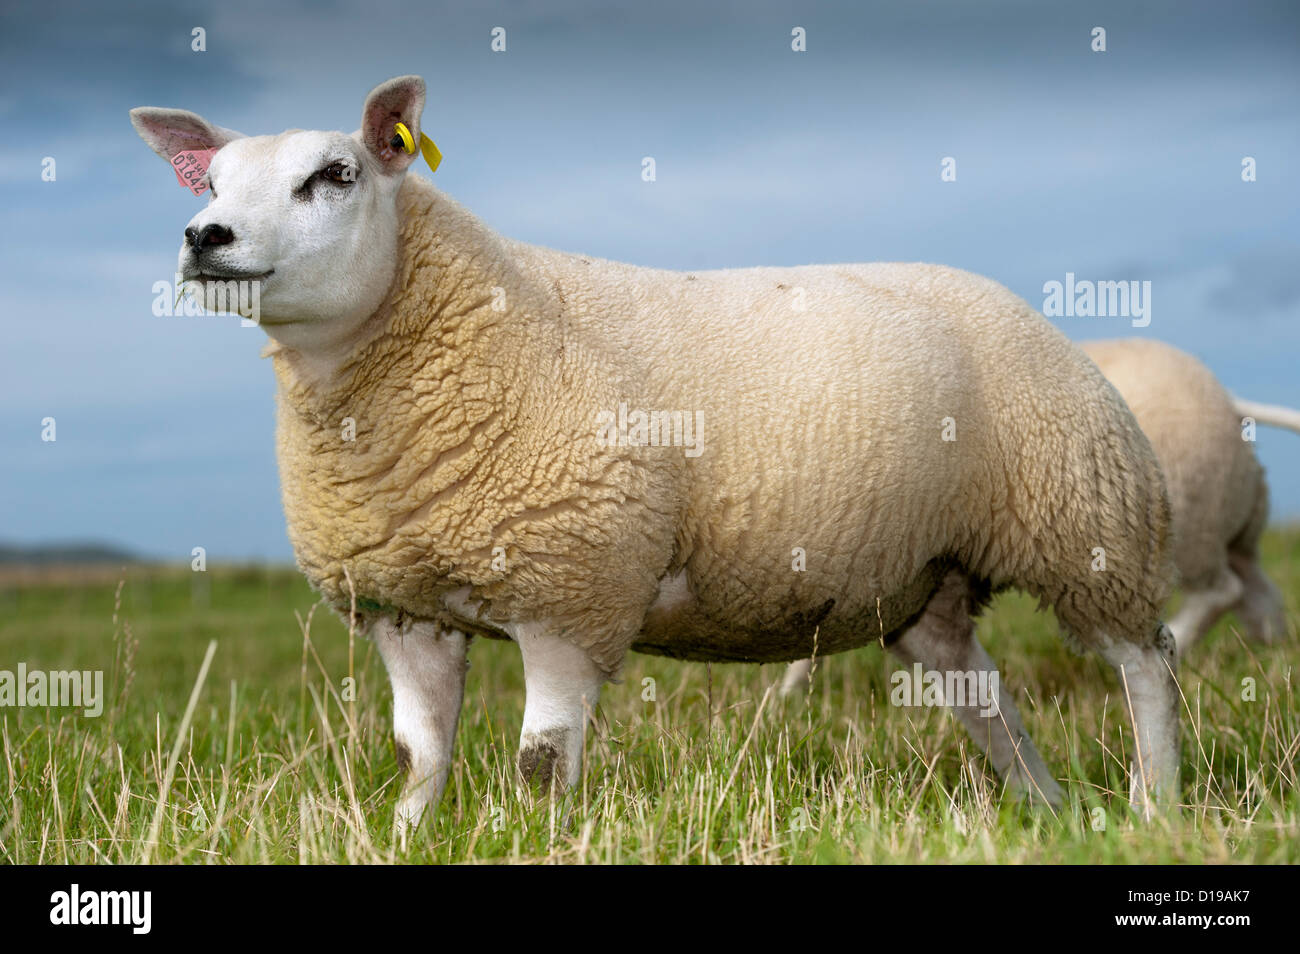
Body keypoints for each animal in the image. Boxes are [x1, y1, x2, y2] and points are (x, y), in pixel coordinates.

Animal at [131, 75, 1179, 827]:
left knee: (1146, 663)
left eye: (336, 175)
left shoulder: (570, 588)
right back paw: (1044, 807)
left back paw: (1153, 803)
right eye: (212, 181)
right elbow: (415, 759)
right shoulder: (402, 605)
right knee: (979, 691)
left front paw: (537, 841)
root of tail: (1015, 302)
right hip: (927, 577)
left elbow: (541, 764)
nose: (204, 236)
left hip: (1088, 521)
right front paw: (405, 839)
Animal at [782, 337, 1298, 695]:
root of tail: (1229, 399)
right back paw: (1272, 655)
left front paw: (785, 696)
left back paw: (1183, 649)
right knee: (1260, 594)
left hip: (1189, 521)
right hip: (1237, 522)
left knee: (1221, 591)